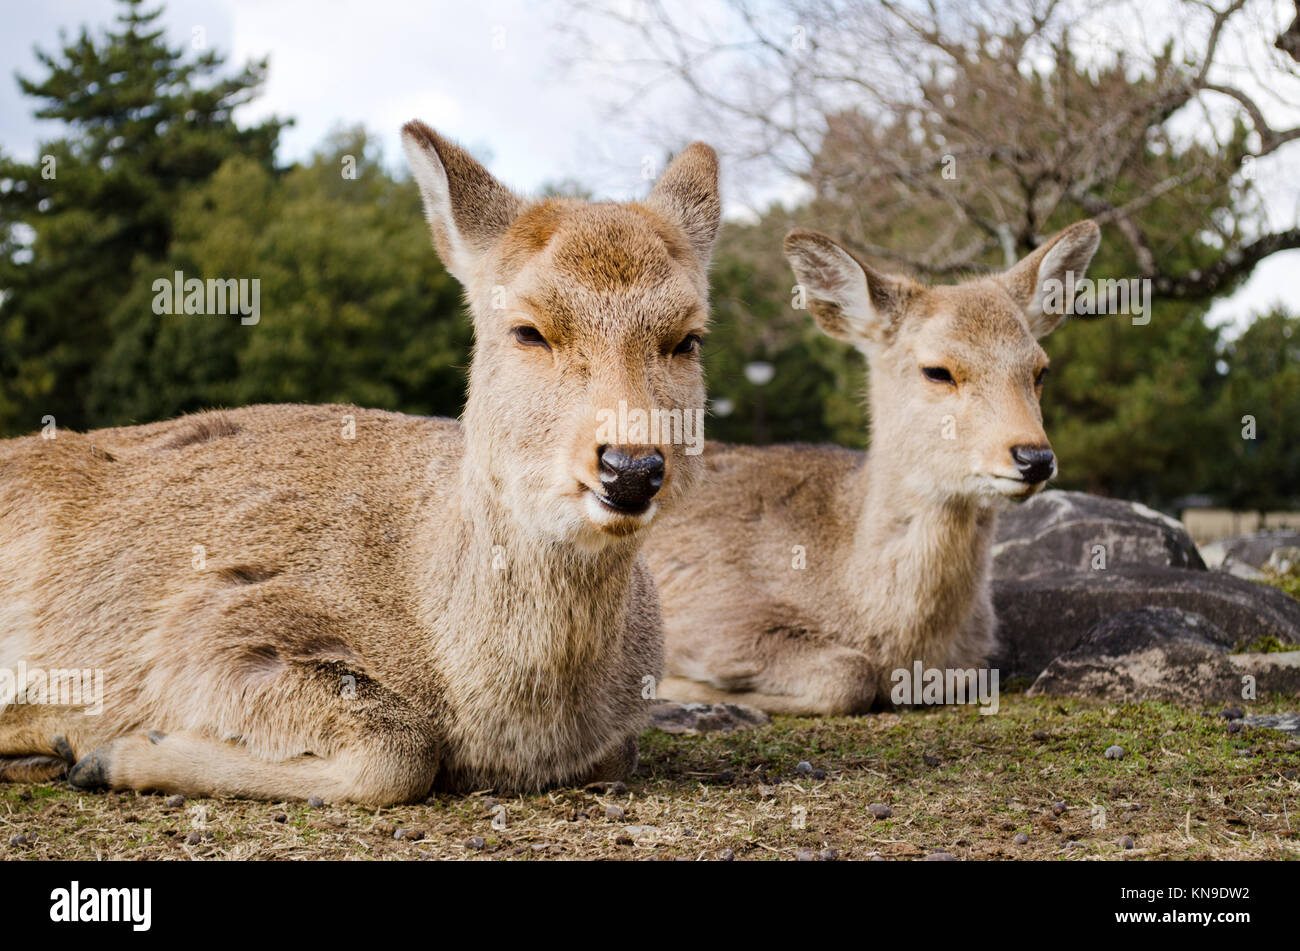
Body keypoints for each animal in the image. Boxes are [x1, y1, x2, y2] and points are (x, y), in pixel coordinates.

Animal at [0, 121, 721, 803]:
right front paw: (112, 752)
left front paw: (98, 752)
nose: (630, 467)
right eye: (527, 330)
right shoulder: (208, 624)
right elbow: (399, 753)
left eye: (688, 339)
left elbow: (616, 755)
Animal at [644, 220, 1101, 714]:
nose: (1034, 457)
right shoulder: (714, 619)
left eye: (1040, 371)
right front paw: (677, 688)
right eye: (937, 371)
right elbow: (848, 676)